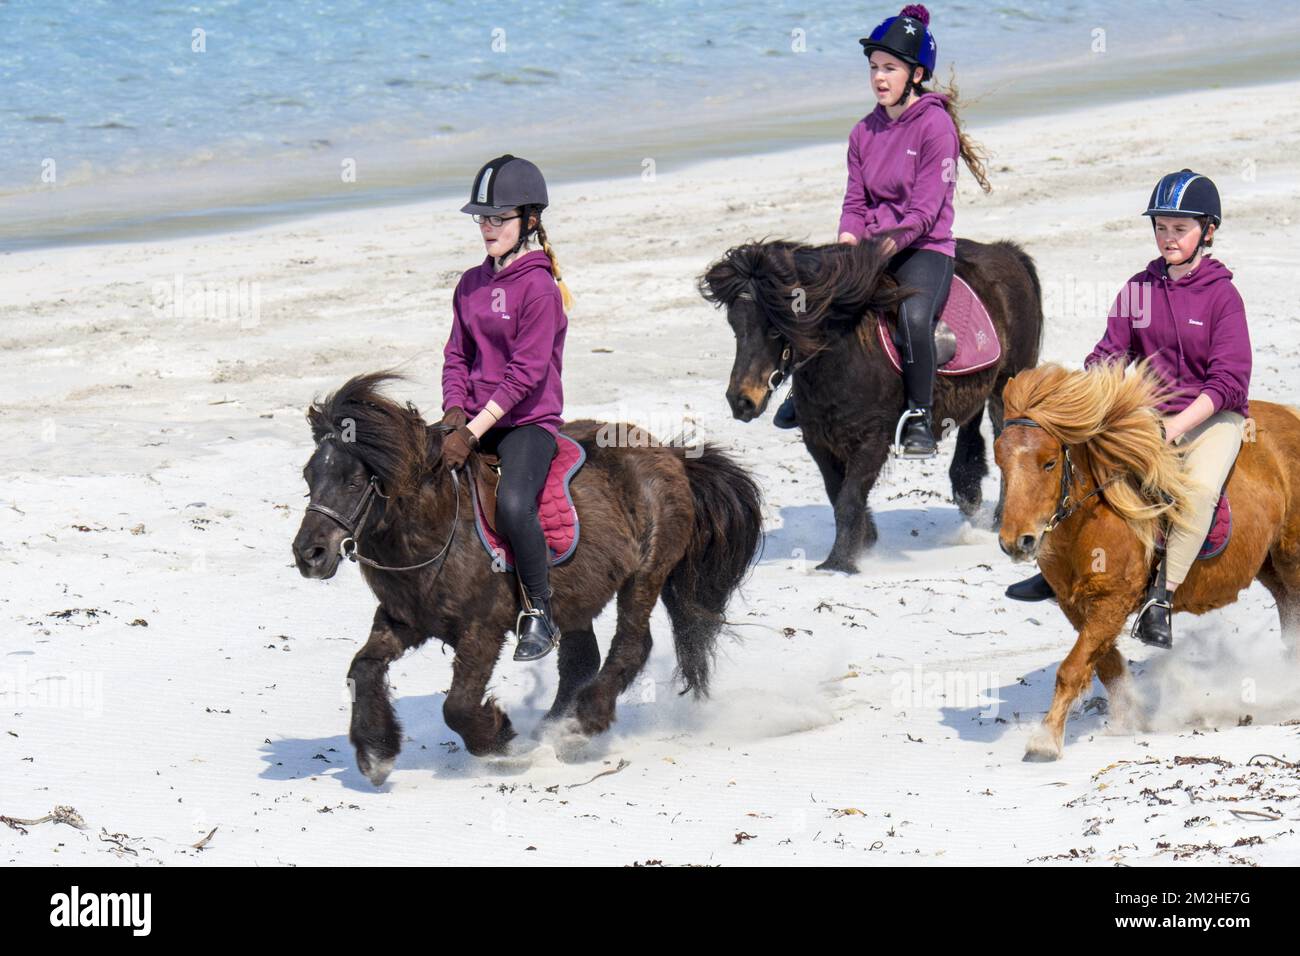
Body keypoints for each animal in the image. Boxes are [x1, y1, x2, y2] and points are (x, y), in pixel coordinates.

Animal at [291, 372, 763, 785]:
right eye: (310, 475)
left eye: (354, 481)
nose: (308, 554)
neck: (437, 524)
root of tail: (672, 455)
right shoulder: (403, 620)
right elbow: (362, 667)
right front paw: (376, 754)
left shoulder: (482, 629)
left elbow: (457, 707)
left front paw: (503, 743)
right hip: (576, 597)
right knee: (580, 660)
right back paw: (554, 726)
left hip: (645, 574)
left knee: (631, 645)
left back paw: (577, 727)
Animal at [700, 237, 1043, 573]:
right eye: (735, 326)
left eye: (775, 328)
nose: (741, 401)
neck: (845, 355)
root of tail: (1006, 251)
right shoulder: (818, 440)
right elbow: (837, 493)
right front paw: (866, 539)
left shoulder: (873, 440)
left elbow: (849, 498)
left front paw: (840, 562)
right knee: (972, 422)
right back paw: (969, 491)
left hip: (1008, 381)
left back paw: (1000, 517)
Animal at [995, 361, 1300, 761]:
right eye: (1000, 462)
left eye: (1048, 463)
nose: (1016, 542)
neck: (1091, 518)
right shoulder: (1076, 606)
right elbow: (1106, 666)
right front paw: (1129, 720)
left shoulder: (1113, 600)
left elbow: (1072, 668)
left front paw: (1044, 741)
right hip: (1271, 565)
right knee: (1288, 608)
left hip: (1292, 559)